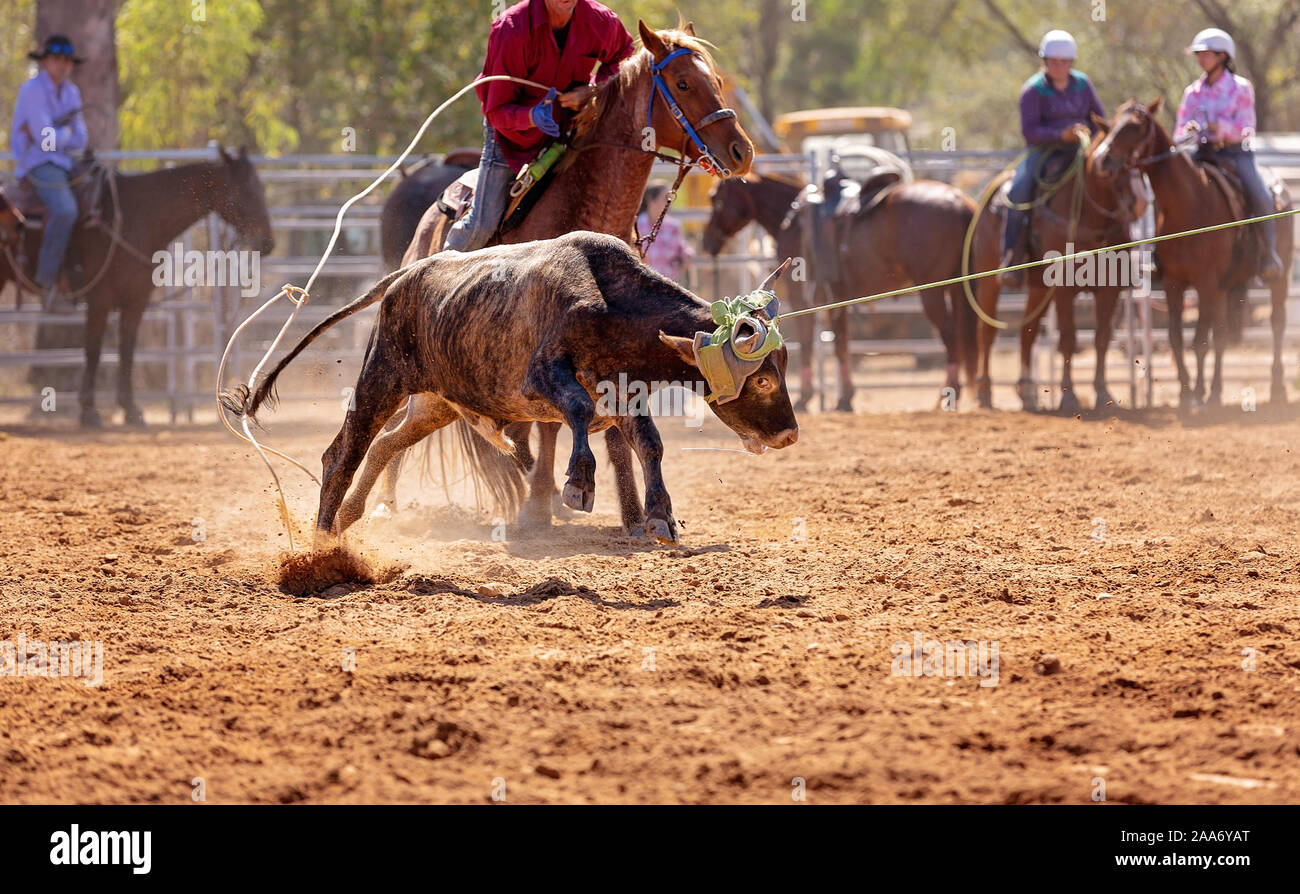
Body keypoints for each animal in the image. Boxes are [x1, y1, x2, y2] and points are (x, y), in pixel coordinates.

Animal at [222, 231, 799, 548]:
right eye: (763, 377)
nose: (791, 435)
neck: (610, 303)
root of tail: (406, 276)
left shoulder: (624, 395)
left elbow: (649, 444)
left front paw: (659, 516)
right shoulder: (542, 377)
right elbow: (577, 410)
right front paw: (578, 484)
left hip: (435, 404)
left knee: (385, 444)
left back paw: (347, 518)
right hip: (381, 377)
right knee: (342, 451)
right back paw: (321, 544)